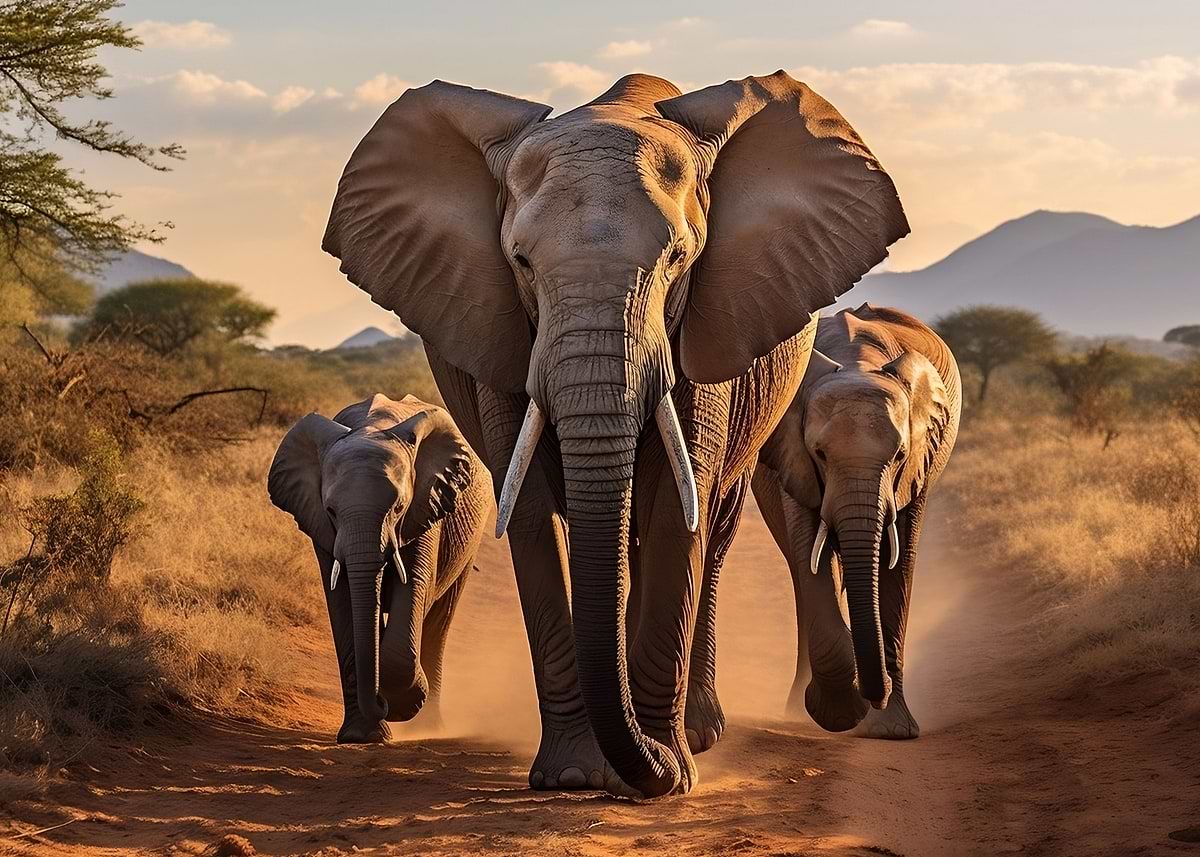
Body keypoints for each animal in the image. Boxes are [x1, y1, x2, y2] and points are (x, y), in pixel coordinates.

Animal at [268, 393, 490, 744]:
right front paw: (361, 736)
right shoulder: (322, 526)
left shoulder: (426, 504)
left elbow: (414, 586)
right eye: (331, 510)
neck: (371, 428)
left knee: (439, 621)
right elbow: (343, 600)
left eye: (398, 508)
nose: (381, 703)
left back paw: (428, 728)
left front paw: (403, 705)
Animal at [322, 72, 907, 797]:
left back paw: (696, 735)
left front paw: (668, 773)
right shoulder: (502, 334)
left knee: (713, 526)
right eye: (519, 261)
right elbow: (534, 514)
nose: (645, 767)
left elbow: (675, 510)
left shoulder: (707, 326)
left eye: (680, 258)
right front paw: (574, 775)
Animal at [752, 304, 961, 740]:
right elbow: (808, 554)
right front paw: (839, 714)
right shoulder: (793, 454)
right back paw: (800, 710)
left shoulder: (918, 467)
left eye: (900, 455)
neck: (856, 364)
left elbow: (898, 560)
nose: (873, 695)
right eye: (820, 454)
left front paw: (892, 730)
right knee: (799, 567)